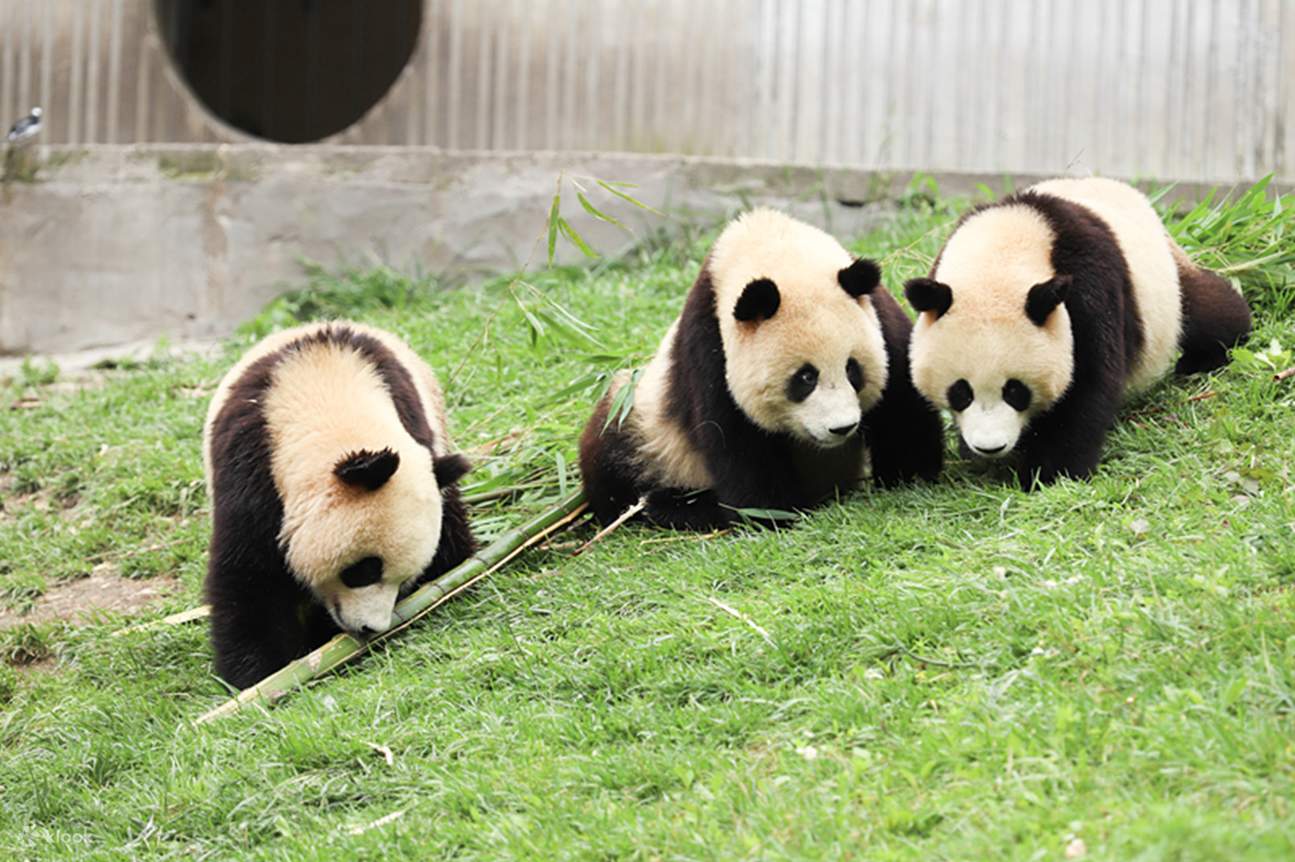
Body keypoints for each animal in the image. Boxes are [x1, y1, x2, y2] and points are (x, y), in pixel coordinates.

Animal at [202, 321, 476, 688]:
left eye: (405, 579)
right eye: (363, 570)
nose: (370, 628)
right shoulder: (249, 469)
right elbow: (250, 577)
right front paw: (262, 674)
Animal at [579, 208, 944, 529]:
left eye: (853, 370)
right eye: (805, 377)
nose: (842, 428)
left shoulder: (878, 316)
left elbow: (901, 403)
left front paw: (909, 474)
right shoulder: (710, 349)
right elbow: (736, 439)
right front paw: (773, 511)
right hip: (645, 424)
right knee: (611, 461)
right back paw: (675, 506)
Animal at [905, 176, 1252, 488]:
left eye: (1015, 391)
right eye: (961, 391)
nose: (990, 447)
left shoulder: (1089, 286)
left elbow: (1087, 383)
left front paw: (1050, 472)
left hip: (1163, 286)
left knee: (1204, 310)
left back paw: (1211, 351)